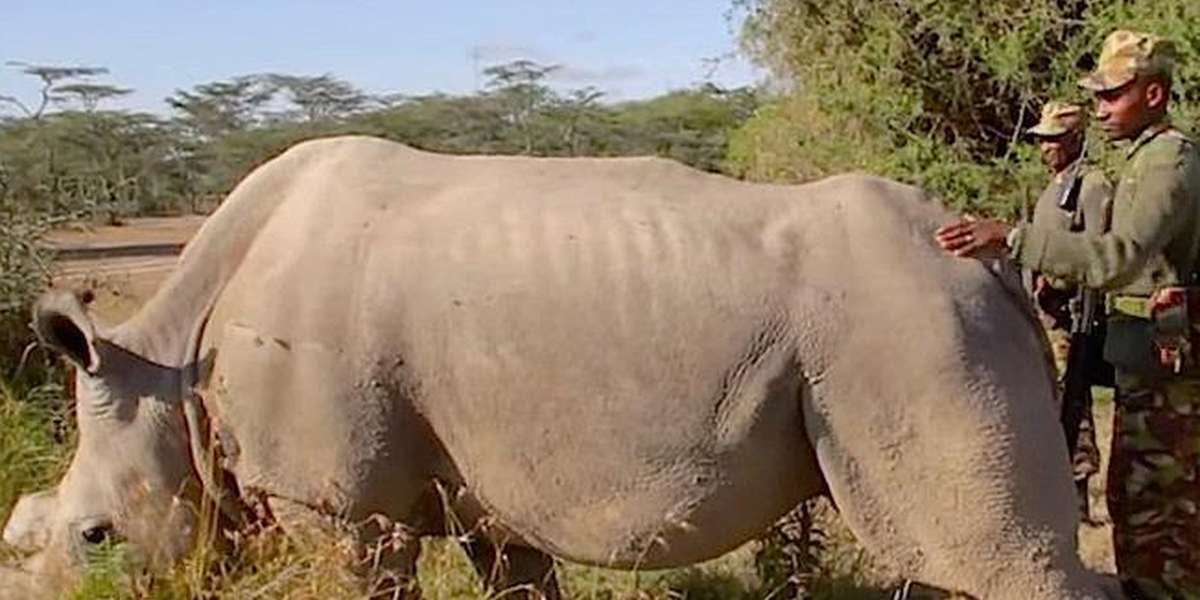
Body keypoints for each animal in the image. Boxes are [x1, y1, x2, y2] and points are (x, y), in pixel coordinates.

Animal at [2, 136, 1117, 599]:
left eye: (96, 538)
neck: (171, 363)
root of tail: (988, 255)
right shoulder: (488, 488)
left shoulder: (335, 499)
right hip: (913, 323)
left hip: (916, 322)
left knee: (997, 561)